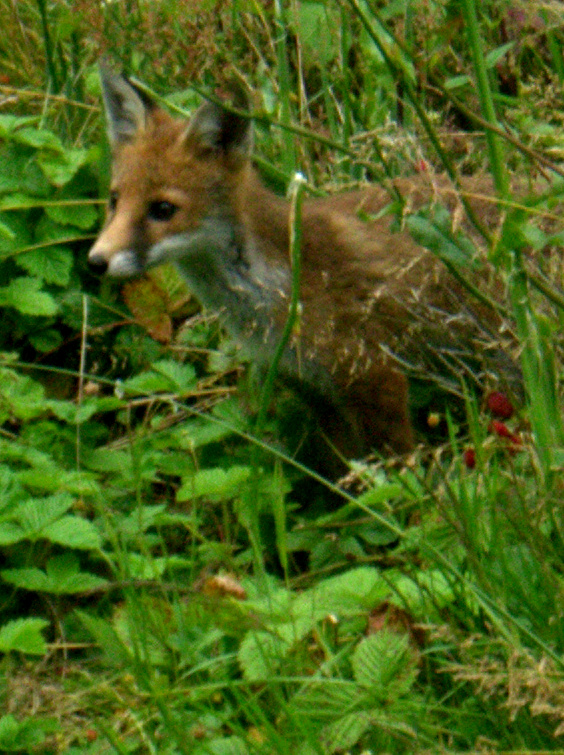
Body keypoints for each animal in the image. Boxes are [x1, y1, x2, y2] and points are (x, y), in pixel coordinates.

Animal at [89, 68, 521, 473]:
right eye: (114, 200)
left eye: (163, 209)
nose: (96, 261)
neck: (274, 291)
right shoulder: (311, 388)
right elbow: (347, 479)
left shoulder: (373, 374)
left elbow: (399, 475)